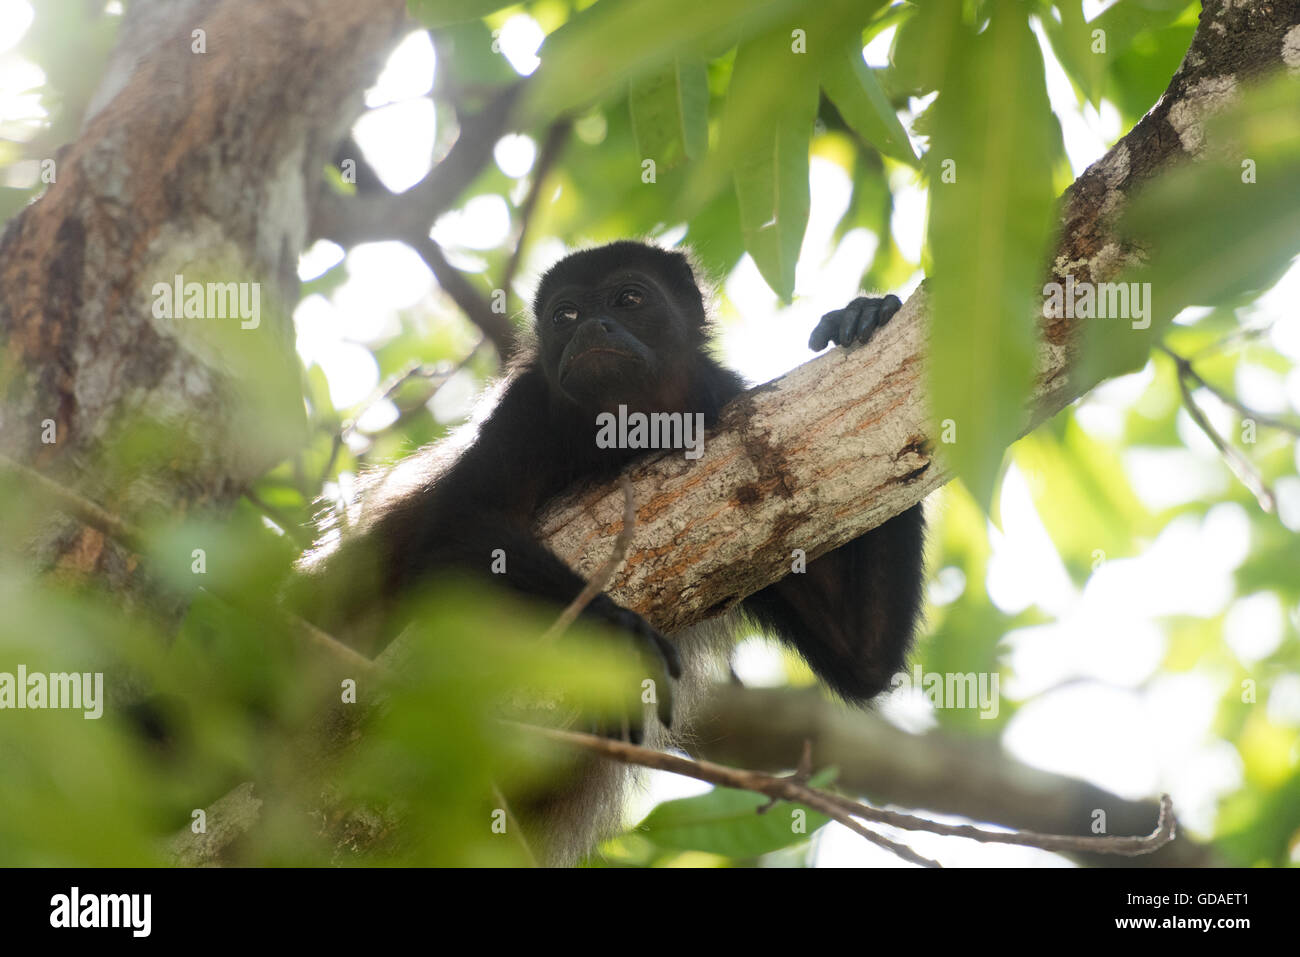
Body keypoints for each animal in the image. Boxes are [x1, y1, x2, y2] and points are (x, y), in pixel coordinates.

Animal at [290, 240, 924, 865]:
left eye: (629, 299)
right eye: (565, 314)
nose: (592, 325)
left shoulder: (726, 403)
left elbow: (863, 656)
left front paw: (864, 316)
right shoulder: (526, 407)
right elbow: (458, 524)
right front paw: (617, 628)